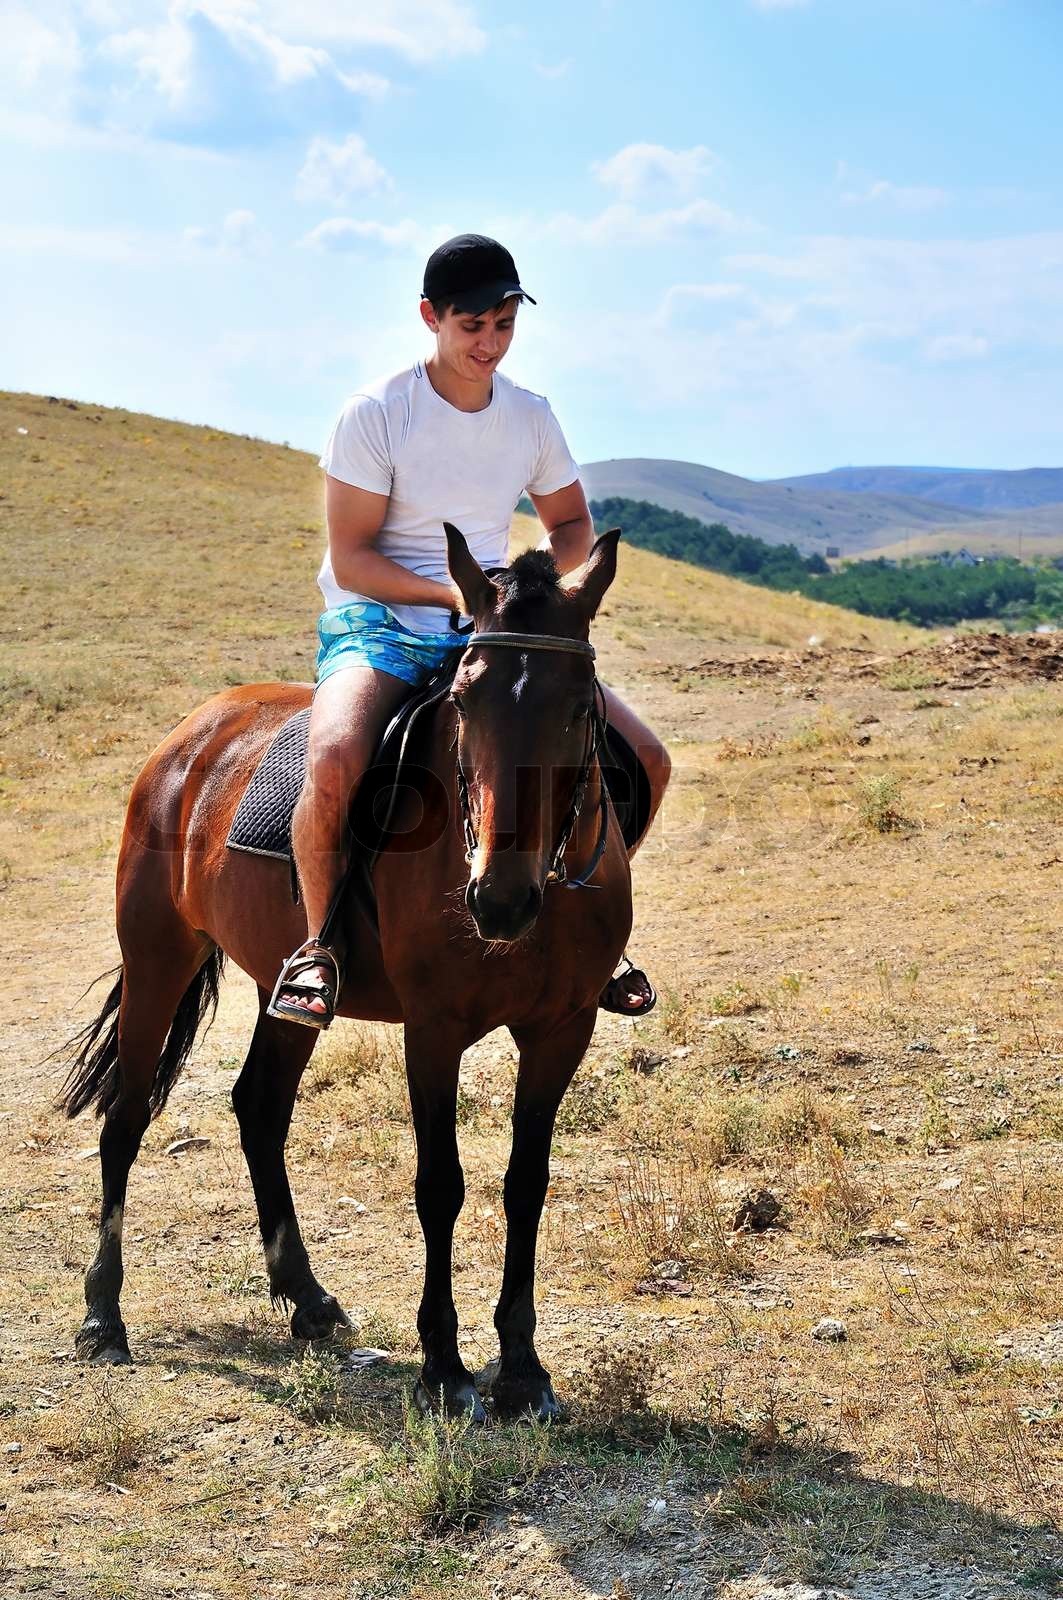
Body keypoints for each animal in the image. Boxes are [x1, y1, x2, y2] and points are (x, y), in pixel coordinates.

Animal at [58, 525, 643, 1421]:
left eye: (581, 705)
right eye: (464, 701)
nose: (500, 899)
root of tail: (193, 735)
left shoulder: (562, 1029)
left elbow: (526, 1183)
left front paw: (522, 1368)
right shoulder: (434, 1031)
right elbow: (440, 1184)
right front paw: (445, 1368)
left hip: (284, 990)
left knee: (258, 1107)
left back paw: (306, 1299)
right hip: (158, 956)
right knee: (125, 1117)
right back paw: (103, 1316)